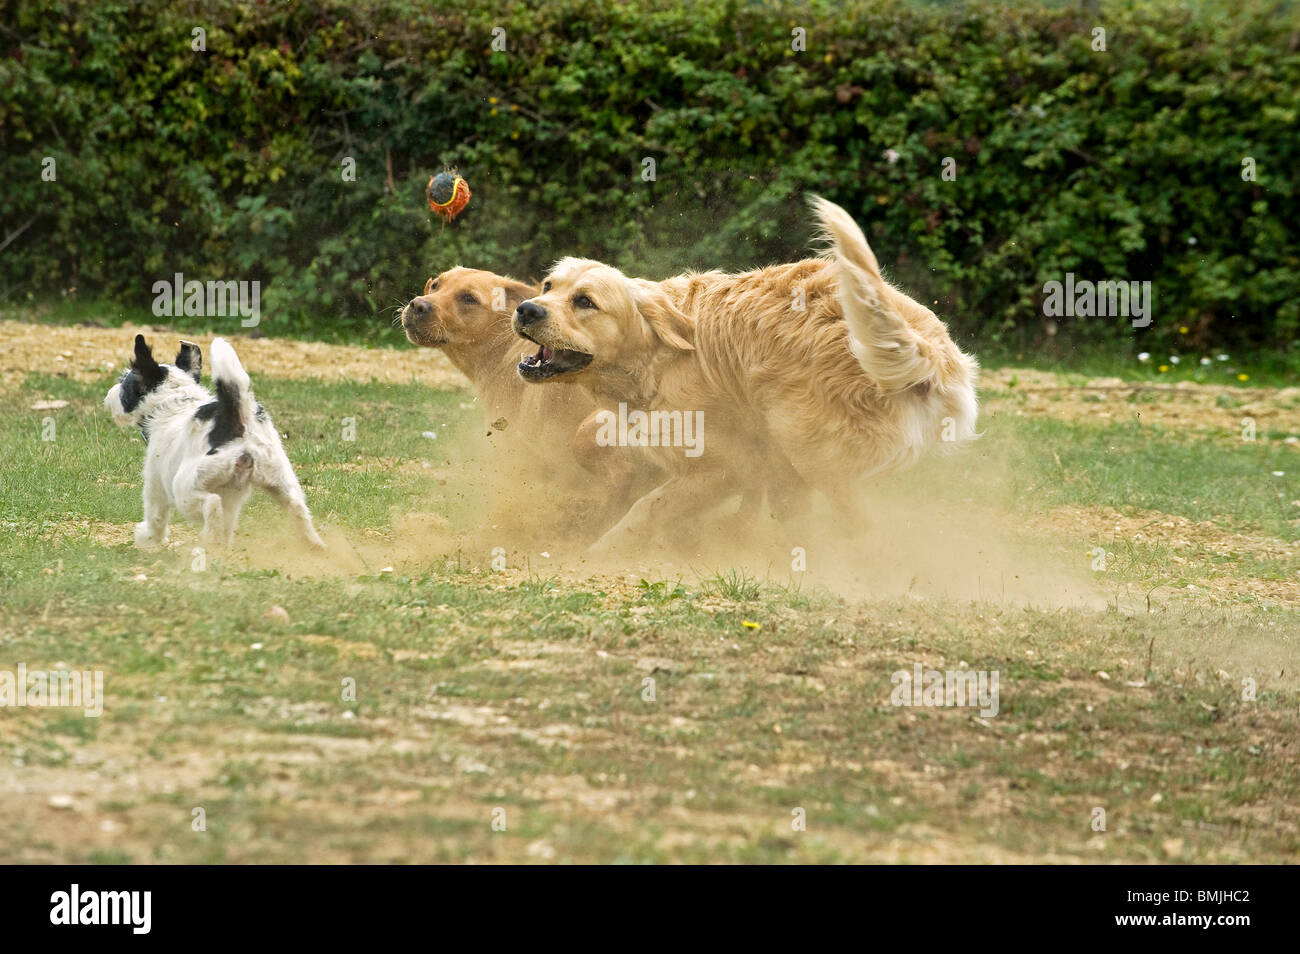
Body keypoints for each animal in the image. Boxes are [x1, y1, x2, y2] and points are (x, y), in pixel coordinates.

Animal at [107, 335, 330, 553]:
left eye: (124, 382)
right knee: (298, 509)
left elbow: (156, 517)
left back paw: (209, 539)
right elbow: (228, 522)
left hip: (185, 487)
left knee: (212, 503)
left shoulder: (155, 485)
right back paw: (315, 545)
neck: (172, 401)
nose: (108, 395)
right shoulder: (232, 497)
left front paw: (147, 537)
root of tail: (238, 423)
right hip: (280, 481)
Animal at [512, 196, 977, 553]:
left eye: (585, 302)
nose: (526, 309)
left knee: (856, 523)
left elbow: (648, 507)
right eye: (549, 286)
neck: (659, 358)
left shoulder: (726, 466)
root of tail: (930, 350)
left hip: (803, 439)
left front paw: (600, 550)